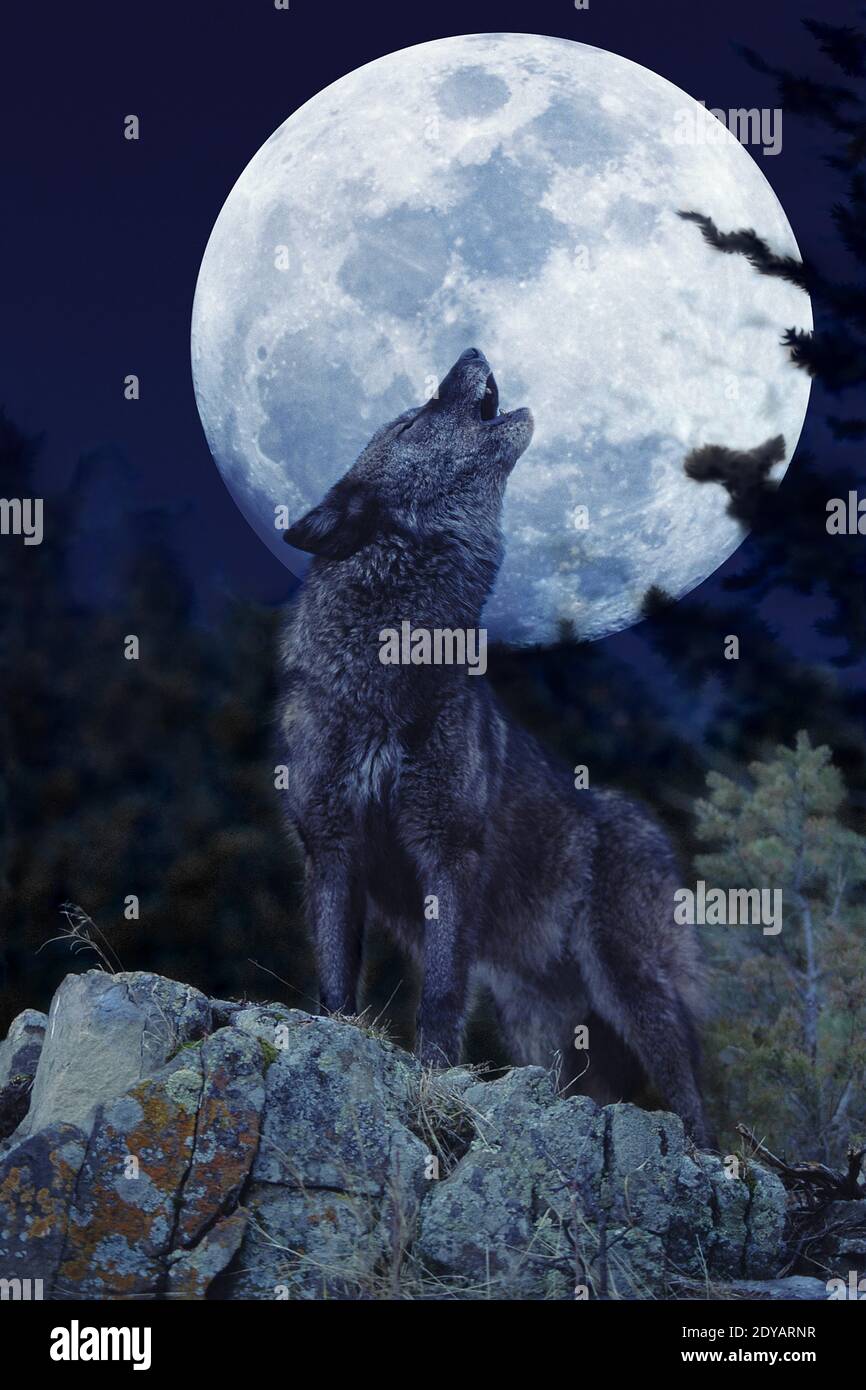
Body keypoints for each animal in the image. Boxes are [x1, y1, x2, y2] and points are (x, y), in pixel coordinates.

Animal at [277, 348, 710, 1145]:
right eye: (414, 420)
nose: (471, 351)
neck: (391, 673)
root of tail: (646, 825)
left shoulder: (449, 848)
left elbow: (442, 992)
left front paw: (434, 1076)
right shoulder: (331, 846)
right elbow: (336, 978)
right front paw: (338, 1043)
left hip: (627, 981)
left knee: (689, 1089)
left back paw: (705, 1156)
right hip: (540, 1017)